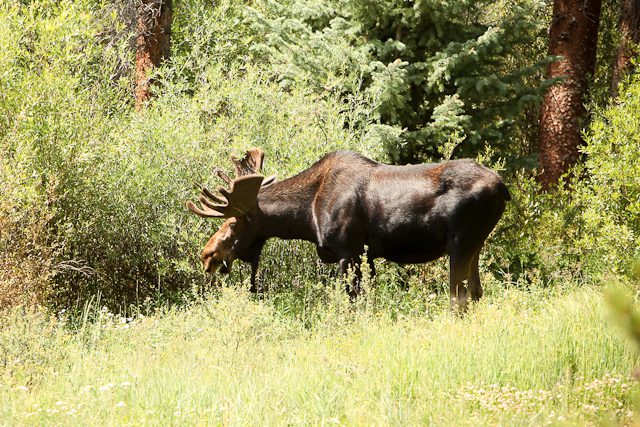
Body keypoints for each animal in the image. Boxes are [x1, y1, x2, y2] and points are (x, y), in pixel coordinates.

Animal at [187, 148, 510, 311]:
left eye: (232, 223)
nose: (207, 255)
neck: (306, 216)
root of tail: (503, 188)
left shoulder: (349, 251)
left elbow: (351, 303)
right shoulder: (367, 256)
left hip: (461, 242)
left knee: (459, 298)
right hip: (475, 245)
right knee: (477, 292)